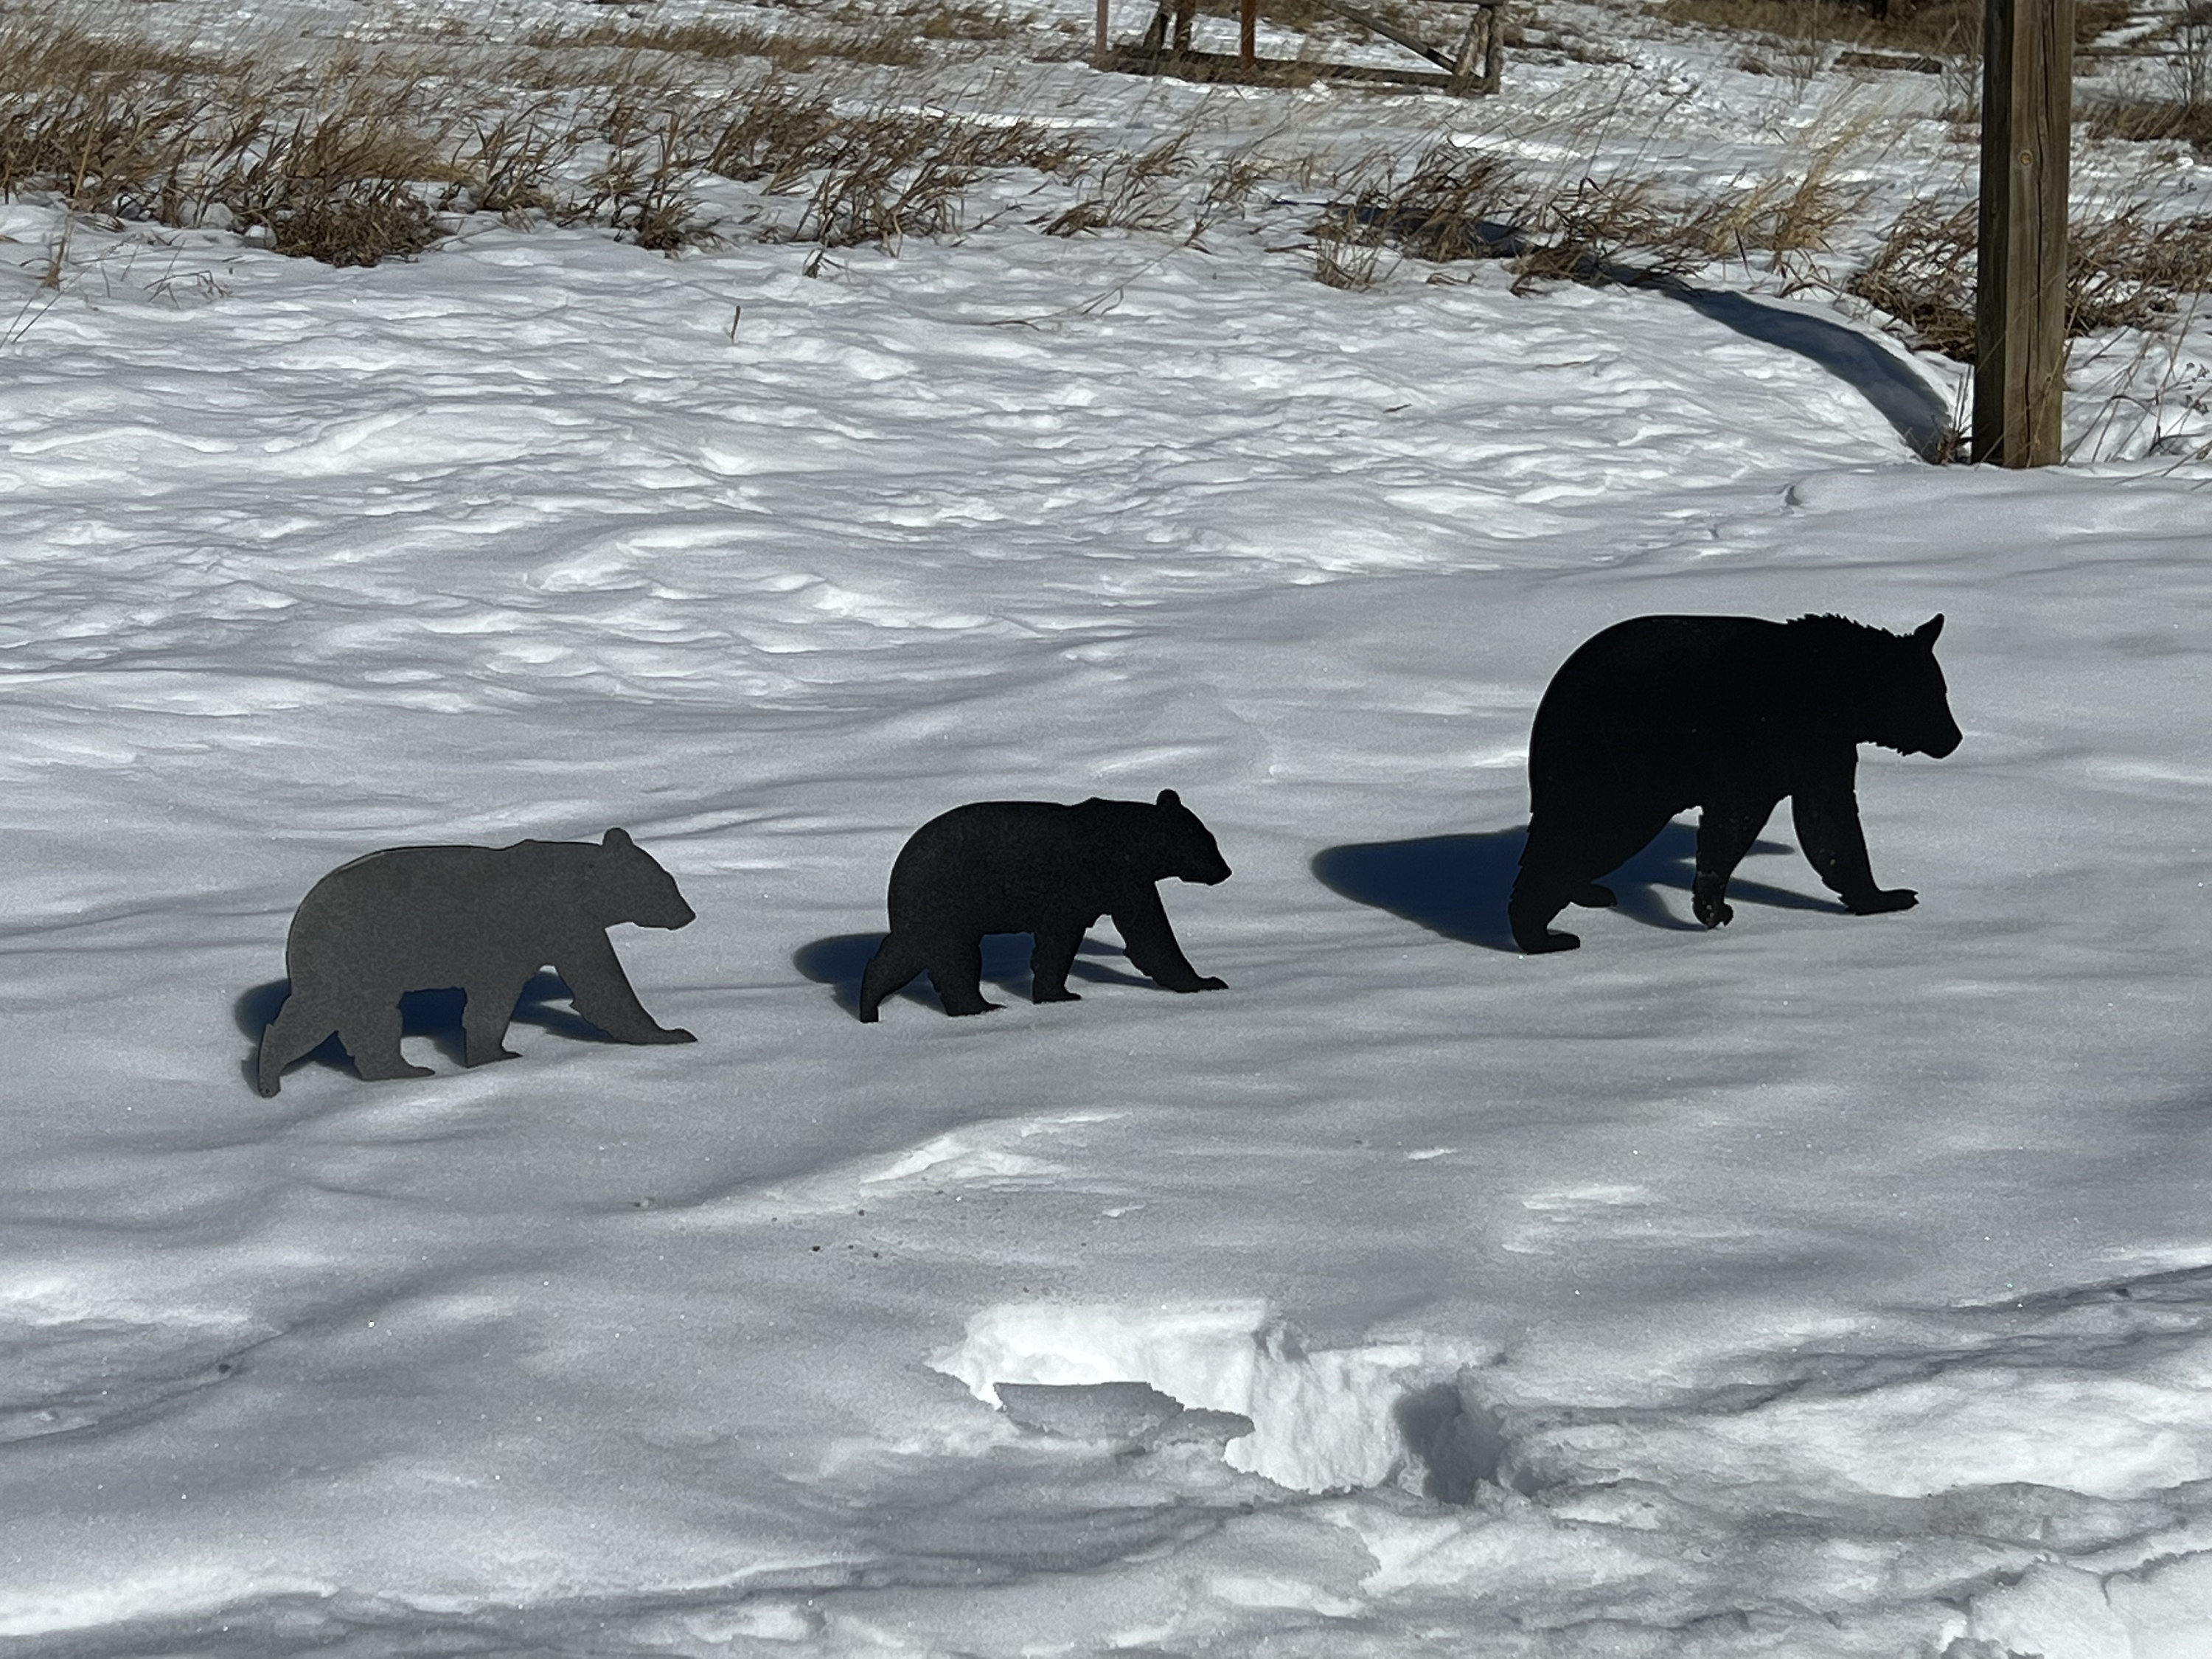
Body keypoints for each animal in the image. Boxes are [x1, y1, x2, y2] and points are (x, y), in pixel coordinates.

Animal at [254, 827, 697, 1096]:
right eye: (665, 883)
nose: (688, 914)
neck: (579, 888)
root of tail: (301, 917)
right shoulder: (557, 925)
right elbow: (599, 984)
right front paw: (672, 1033)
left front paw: (492, 1054)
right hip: (357, 955)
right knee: (333, 1015)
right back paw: (274, 1077)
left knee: (358, 1020)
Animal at [858, 789, 1232, 1022]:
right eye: (1208, 841)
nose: (1226, 871)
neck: (1133, 843)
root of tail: (898, 869)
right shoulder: (1118, 879)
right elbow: (1148, 934)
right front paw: (1207, 981)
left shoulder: (1077, 899)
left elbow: (1058, 945)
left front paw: (1058, 994)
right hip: (944, 903)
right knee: (951, 959)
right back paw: (980, 1007)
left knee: (911, 954)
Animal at [1508, 613, 1961, 954]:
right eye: (1935, 694)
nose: (1954, 738)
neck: (1833, 694)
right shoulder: (1767, 745)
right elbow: (1741, 821)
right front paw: (1713, 908)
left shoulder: (1822, 753)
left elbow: (1826, 824)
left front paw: (1878, 896)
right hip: (1618, 767)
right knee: (1577, 839)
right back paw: (1541, 936)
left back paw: (1586, 892)